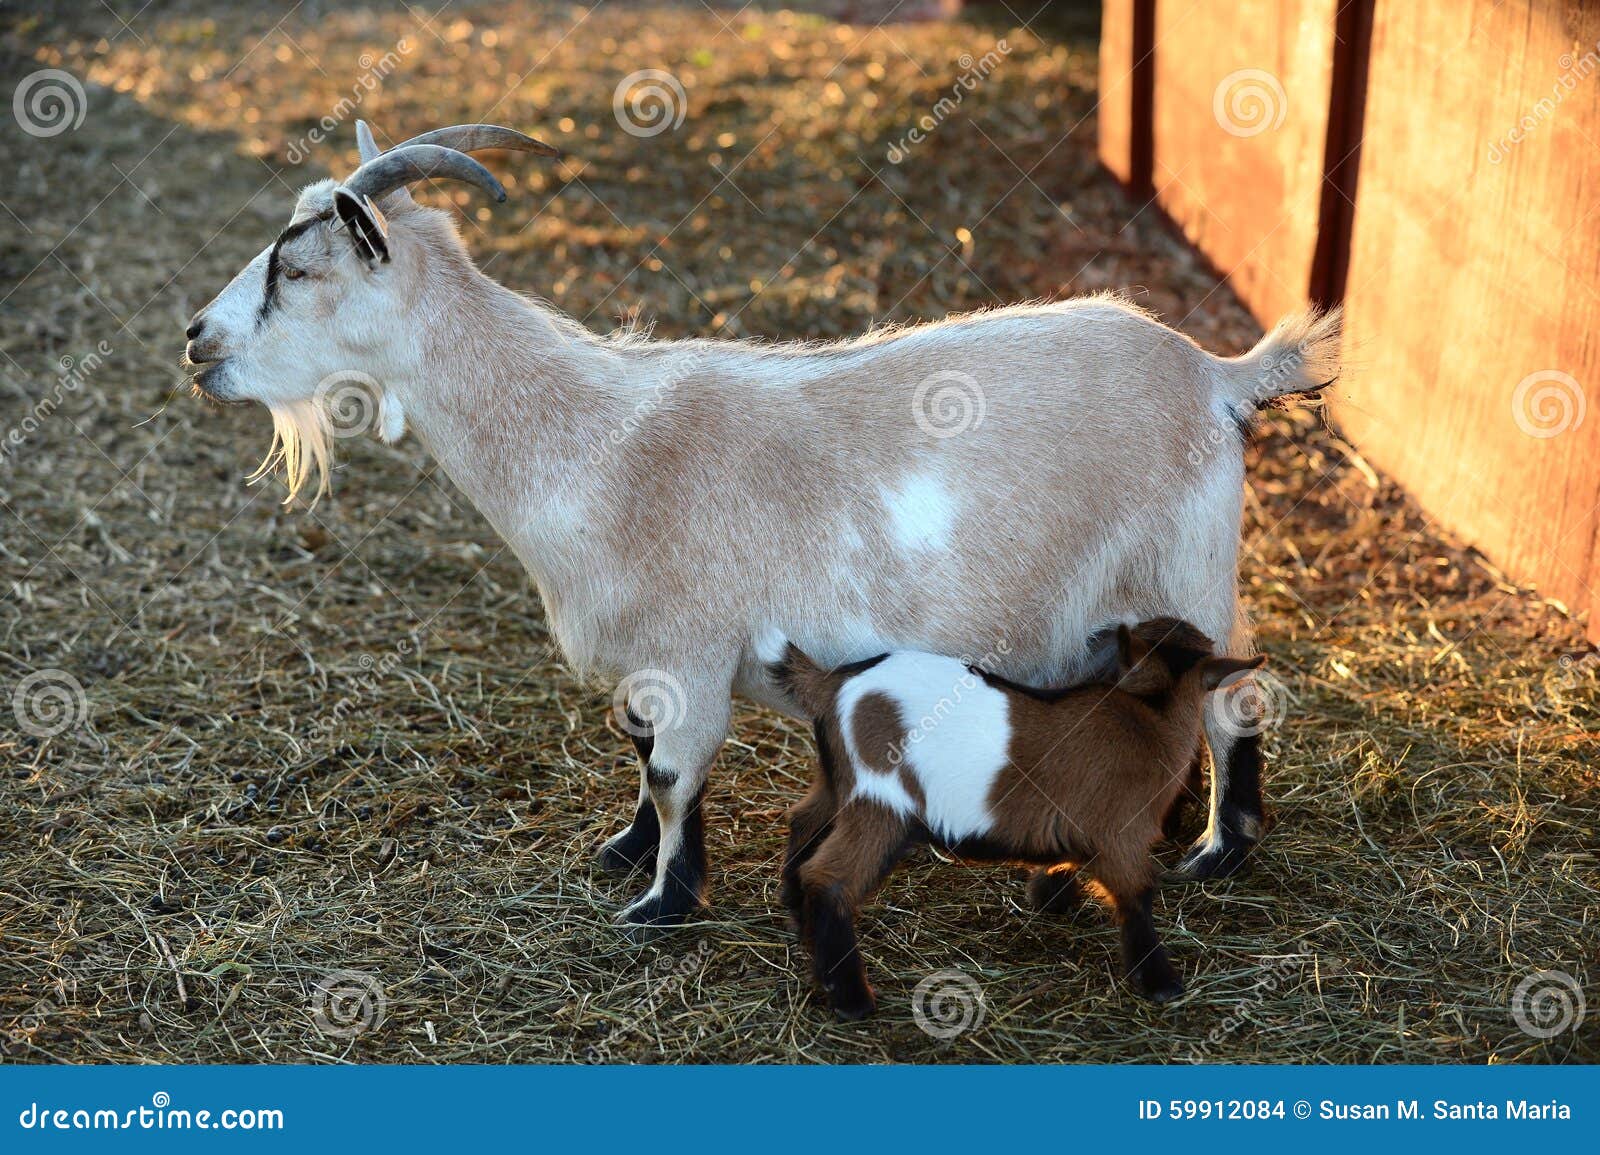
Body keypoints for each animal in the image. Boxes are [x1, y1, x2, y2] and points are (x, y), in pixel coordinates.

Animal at [182, 119, 1337, 929]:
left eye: (297, 268)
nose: (196, 339)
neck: (595, 437)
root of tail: (1219, 375)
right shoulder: (654, 657)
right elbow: (641, 752)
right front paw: (625, 853)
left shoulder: (692, 648)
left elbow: (672, 769)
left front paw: (659, 904)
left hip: (1187, 572)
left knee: (1235, 701)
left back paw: (1215, 852)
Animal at [766, 620, 1264, 1018]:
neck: (1149, 718)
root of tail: (833, 684)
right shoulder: (1120, 836)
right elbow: (1137, 895)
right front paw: (1161, 983)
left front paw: (1048, 897)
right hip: (880, 802)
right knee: (829, 878)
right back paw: (851, 997)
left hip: (839, 784)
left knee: (804, 821)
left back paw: (800, 925)